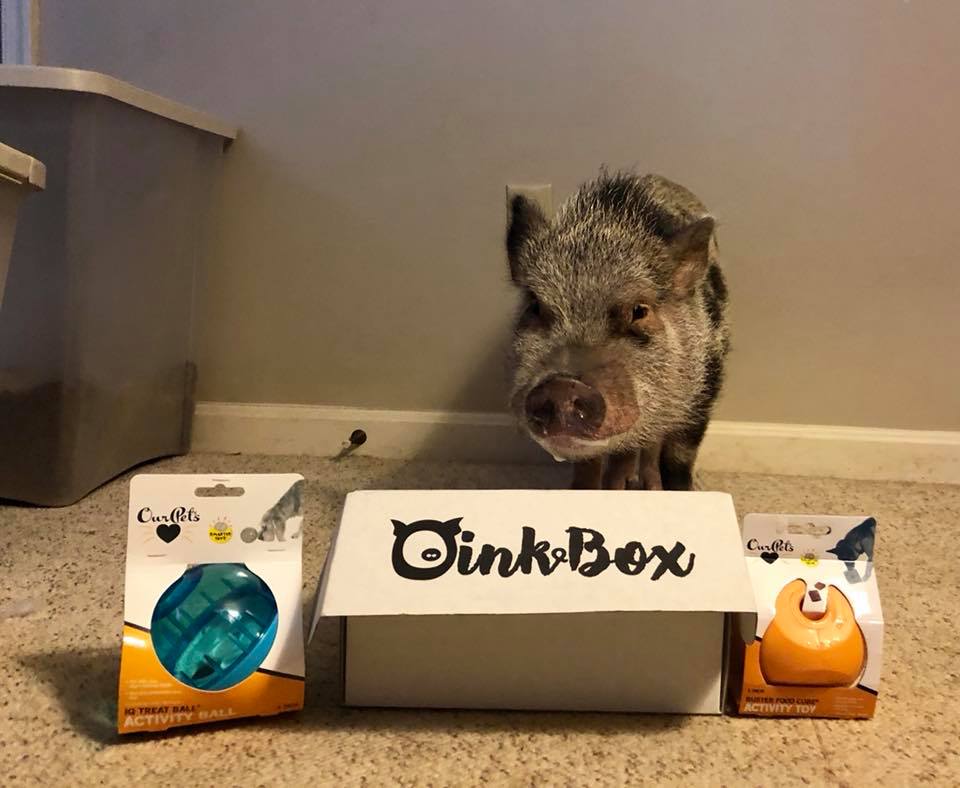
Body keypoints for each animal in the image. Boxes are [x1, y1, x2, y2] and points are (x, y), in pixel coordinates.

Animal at [506, 170, 729, 491]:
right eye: (535, 305)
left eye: (639, 310)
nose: (562, 385)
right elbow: (590, 467)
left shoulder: (702, 397)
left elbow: (677, 462)